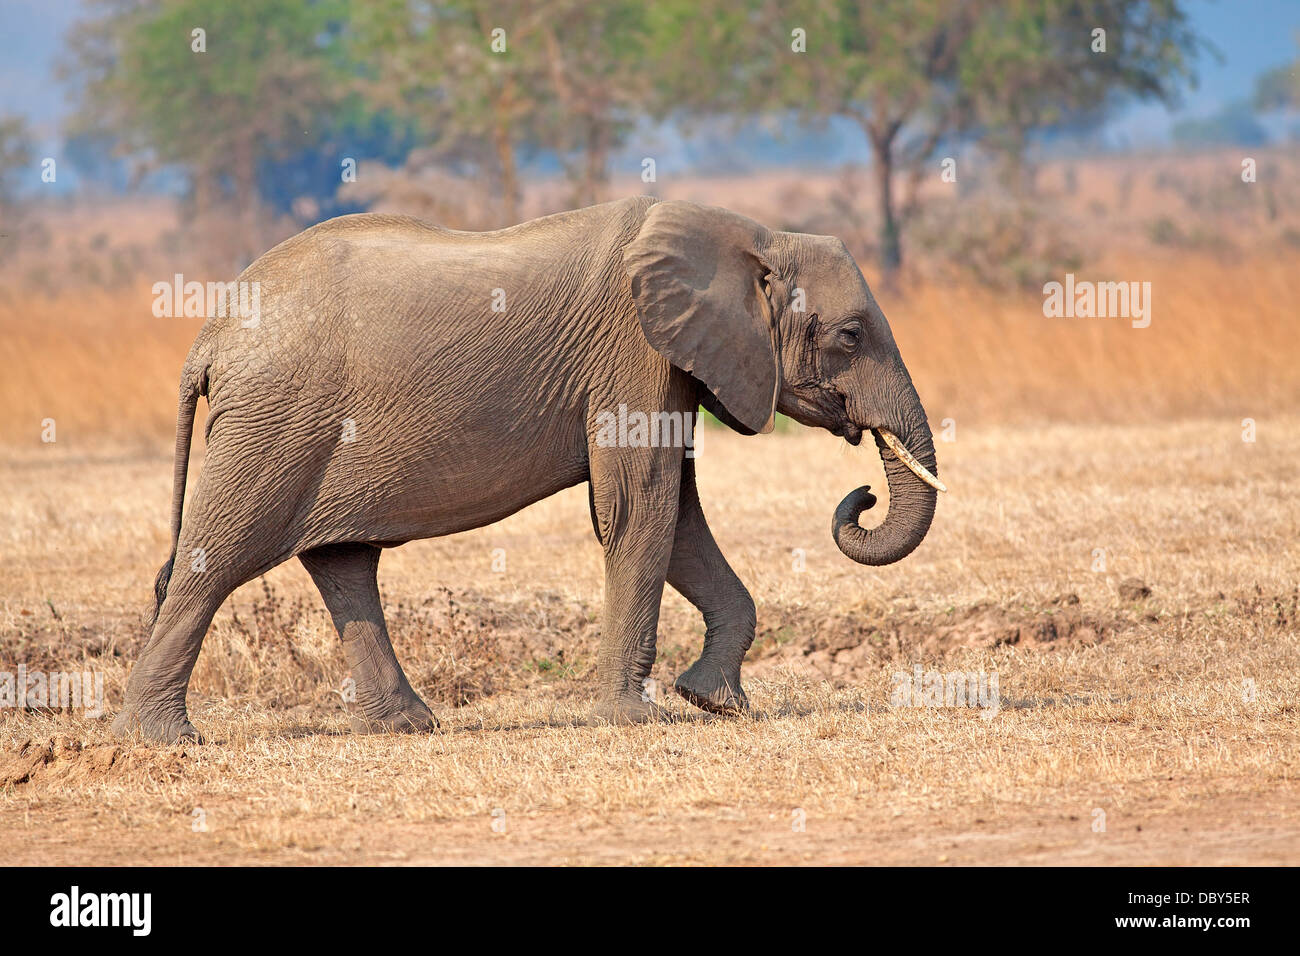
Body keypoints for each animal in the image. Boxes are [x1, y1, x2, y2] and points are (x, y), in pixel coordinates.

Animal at [111, 196, 943, 743]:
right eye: (849, 335)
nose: (862, 496)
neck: (752, 233)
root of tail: (209, 336)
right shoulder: (634, 351)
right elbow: (640, 510)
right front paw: (634, 720)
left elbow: (677, 518)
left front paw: (716, 702)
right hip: (275, 421)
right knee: (216, 560)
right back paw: (161, 739)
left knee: (341, 560)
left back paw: (409, 725)